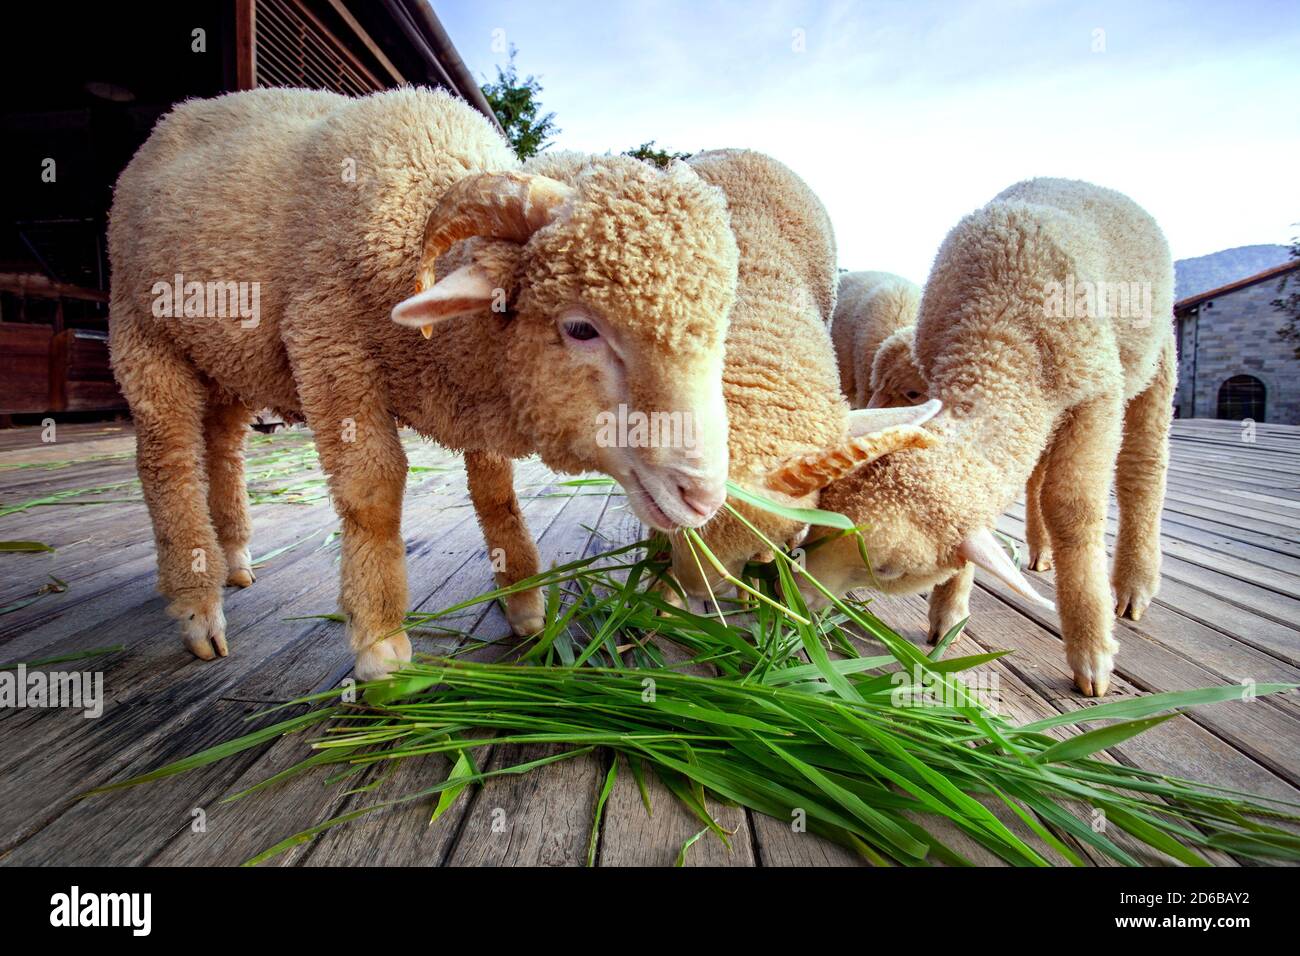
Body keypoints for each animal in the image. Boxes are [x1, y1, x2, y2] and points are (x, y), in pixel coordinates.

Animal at [109, 87, 742, 680]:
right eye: (581, 327)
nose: (704, 496)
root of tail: (181, 112)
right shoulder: (328, 346)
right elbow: (373, 491)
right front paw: (380, 641)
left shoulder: (476, 386)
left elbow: (495, 491)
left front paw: (524, 603)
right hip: (142, 327)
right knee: (167, 459)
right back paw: (198, 606)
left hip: (225, 360)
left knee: (222, 446)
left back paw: (235, 557)